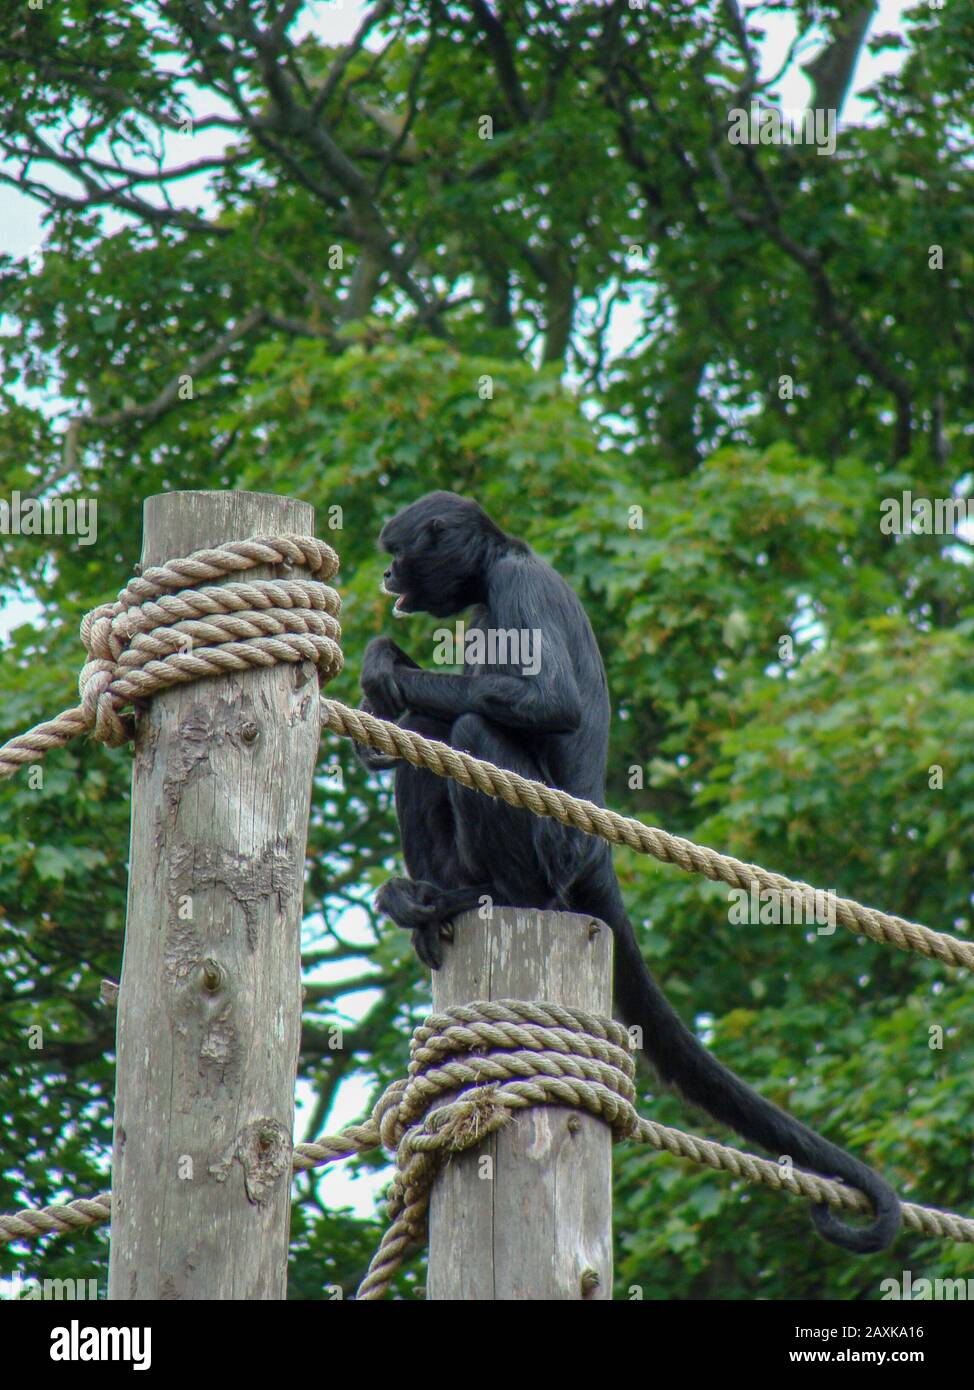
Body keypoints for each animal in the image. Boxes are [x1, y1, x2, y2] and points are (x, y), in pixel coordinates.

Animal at [357, 490, 901, 1254]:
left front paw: (385, 667)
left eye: (396, 550)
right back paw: (427, 900)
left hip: (554, 849)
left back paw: (487, 895)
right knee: (434, 738)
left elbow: (550, 702)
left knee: (466, 728)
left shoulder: (520, 585)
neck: (497, 565)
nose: (385, 575)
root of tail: (597, 852)